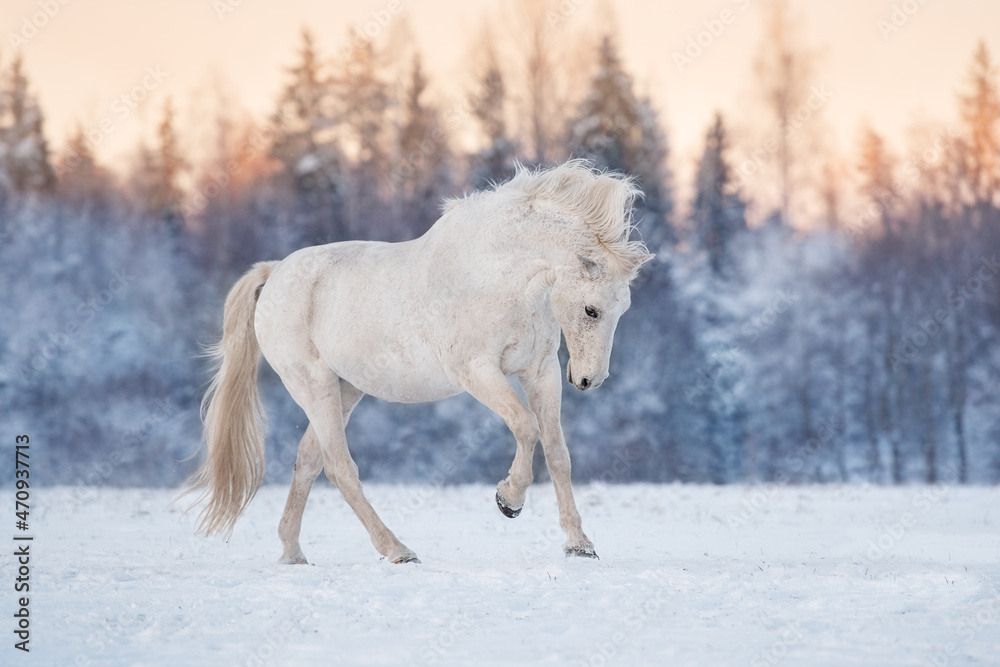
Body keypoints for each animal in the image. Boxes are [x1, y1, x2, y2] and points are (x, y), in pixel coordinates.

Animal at [185, 159, 653, 564]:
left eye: (623, 309)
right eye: (592, 310)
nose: (590, 380)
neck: (498, 274)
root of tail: (275, 272)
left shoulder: (541, 373)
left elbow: (557, 452)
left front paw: (579, 545)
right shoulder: (477, 371)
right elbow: (526, 427)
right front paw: (509, 500)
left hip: (345, 390)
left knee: (309, 463)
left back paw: (293, 553)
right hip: (311, 384)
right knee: (339, 467)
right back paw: (397, 550)